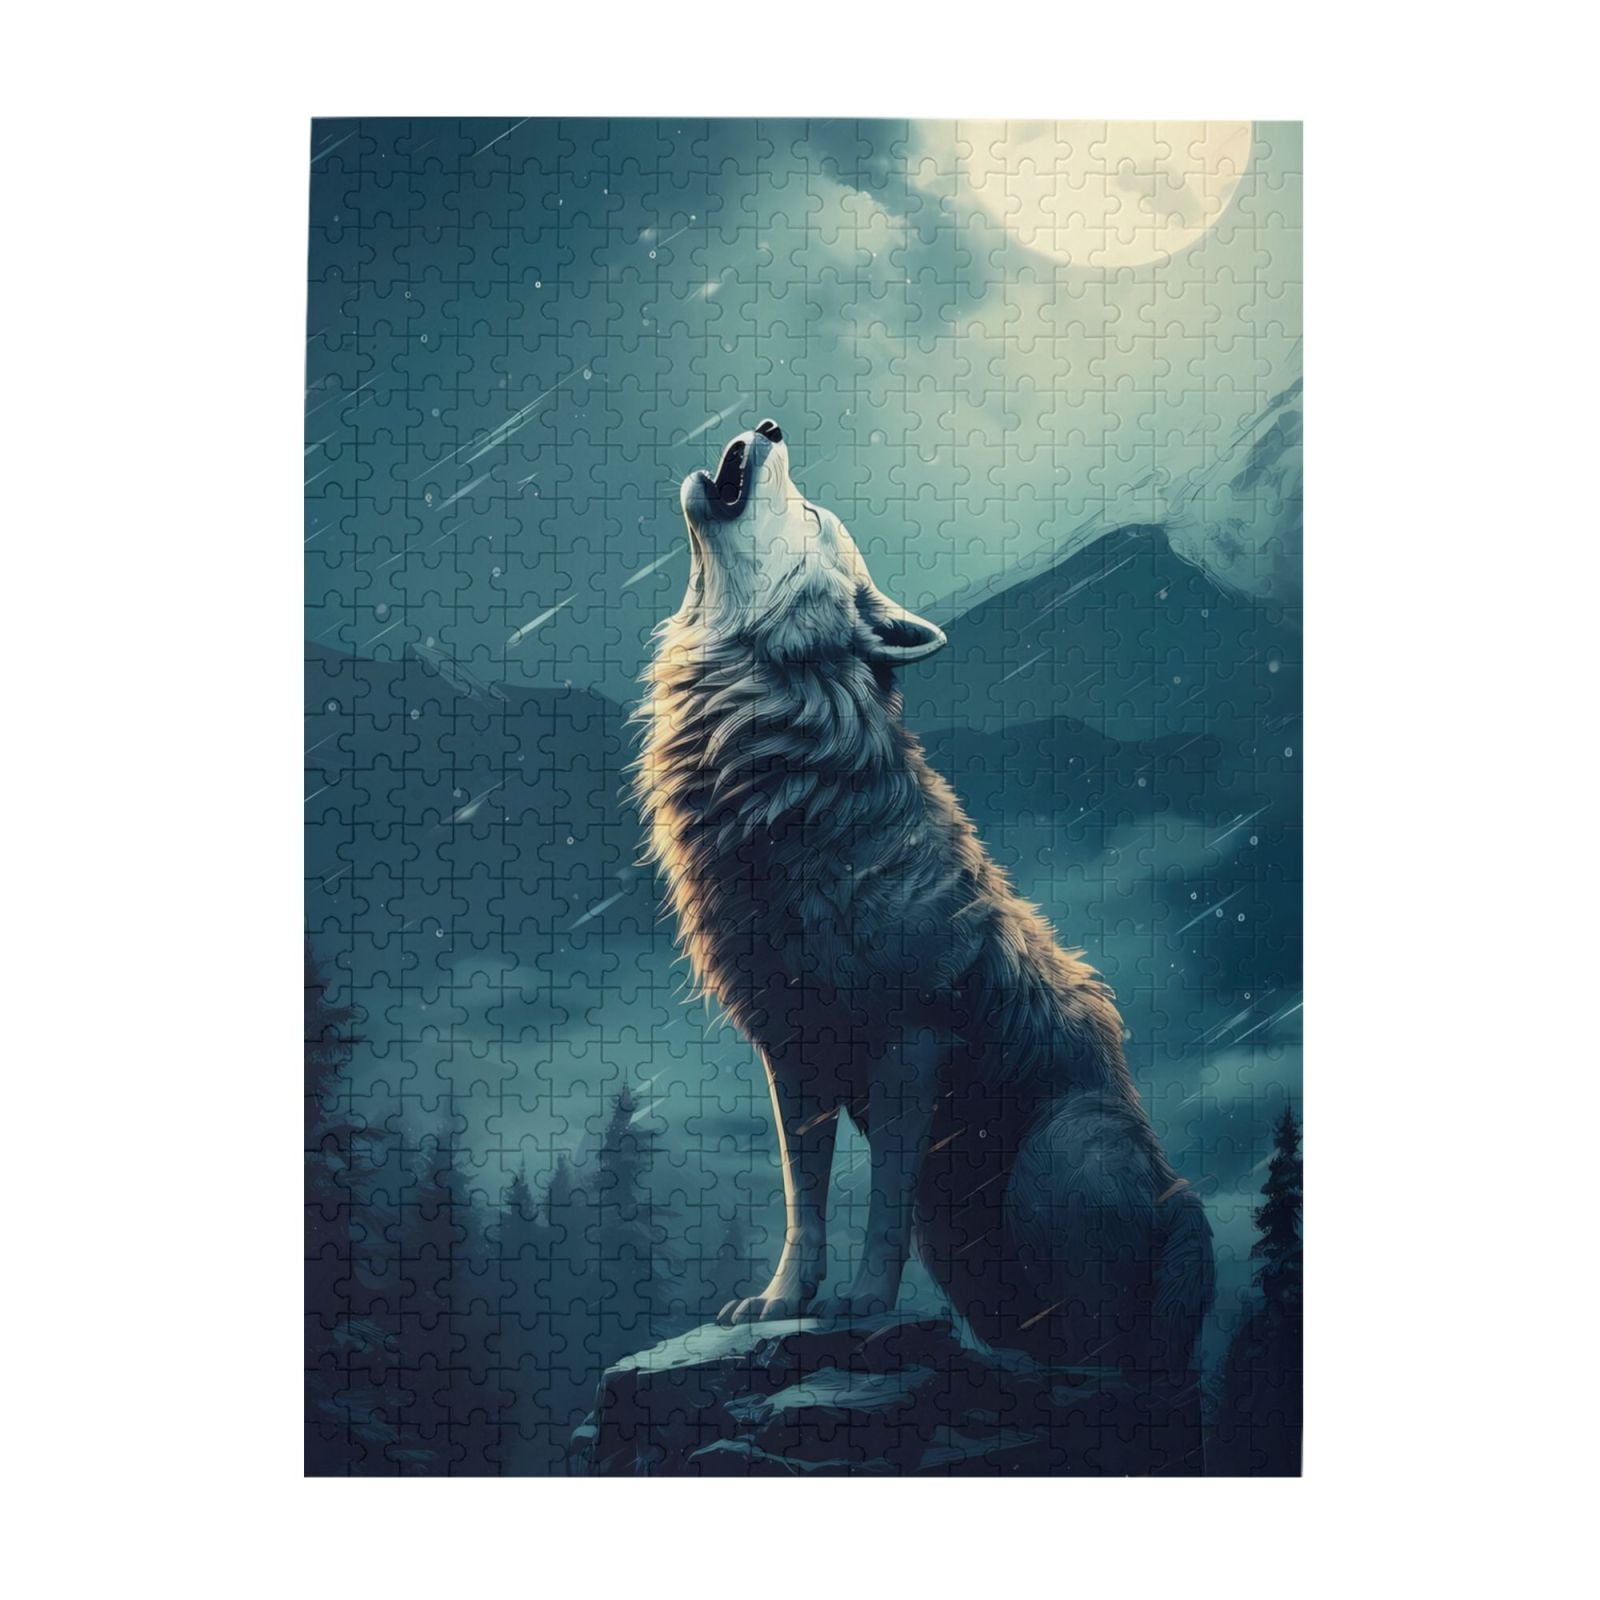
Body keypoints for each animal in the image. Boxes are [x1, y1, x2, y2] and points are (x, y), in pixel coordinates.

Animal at [636, 420, 1215, 1378]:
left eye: (813, 512)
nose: (770, 427)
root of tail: (1180, 1202)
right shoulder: (790, 1050)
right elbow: (802, 1203)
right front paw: (781, 1303)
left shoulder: (912, 1044)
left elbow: (881, 1206)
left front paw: (863, 1305)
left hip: (1060, 1154)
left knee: (1117, 1360)